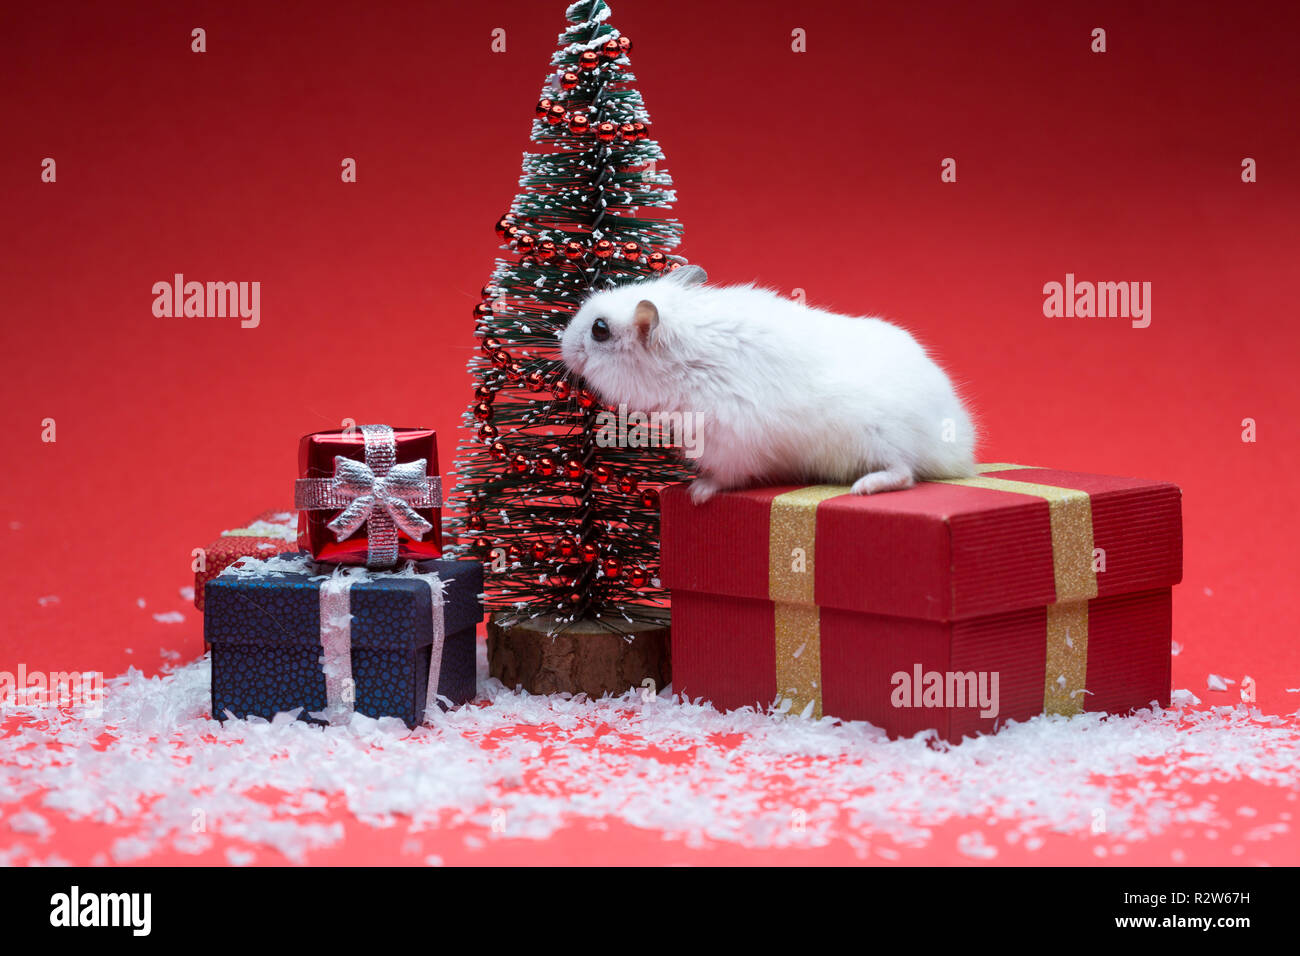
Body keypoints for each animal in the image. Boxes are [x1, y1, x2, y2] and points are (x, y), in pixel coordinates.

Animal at [560, 265, 977, 503]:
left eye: (599, 329)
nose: (560, 345)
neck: (686, 363)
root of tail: (960, 450)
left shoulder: (730, 440)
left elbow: (723, 477)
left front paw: (697, 493)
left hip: (879, 439)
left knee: (904, 472)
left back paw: (865, 487)